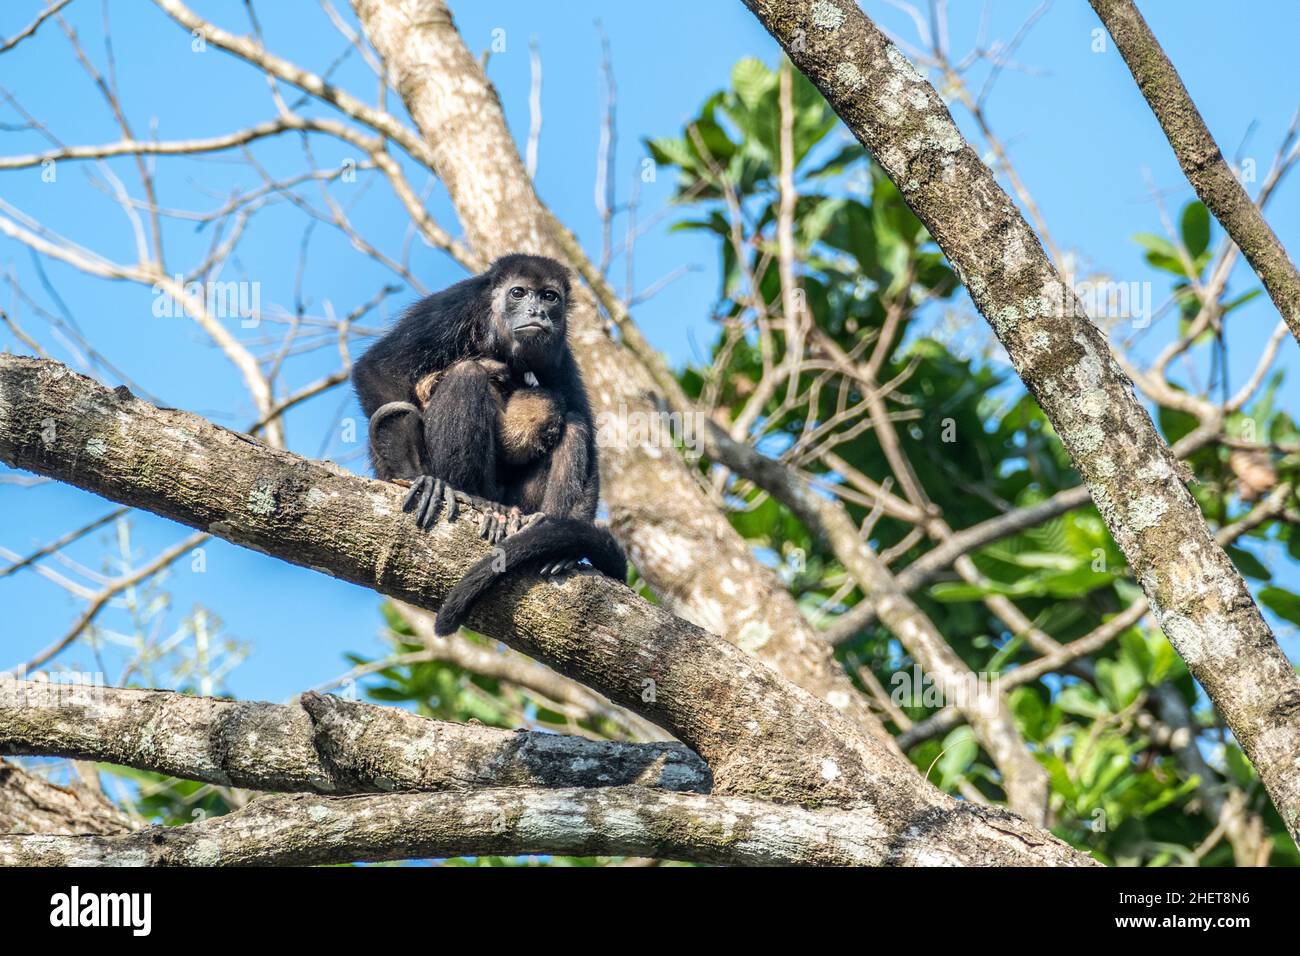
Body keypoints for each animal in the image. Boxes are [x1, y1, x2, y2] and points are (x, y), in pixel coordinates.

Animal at [351, 253, 626, 636]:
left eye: (550, 297)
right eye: (518, 292)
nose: (537, 312)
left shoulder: (559, 352)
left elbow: (583, 420)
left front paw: (566, 548)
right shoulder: (454, 306)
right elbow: (377, 367)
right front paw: (415, 474)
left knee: (573, 424)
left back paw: (541, 524)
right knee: (466, 375)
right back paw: (467, 494)